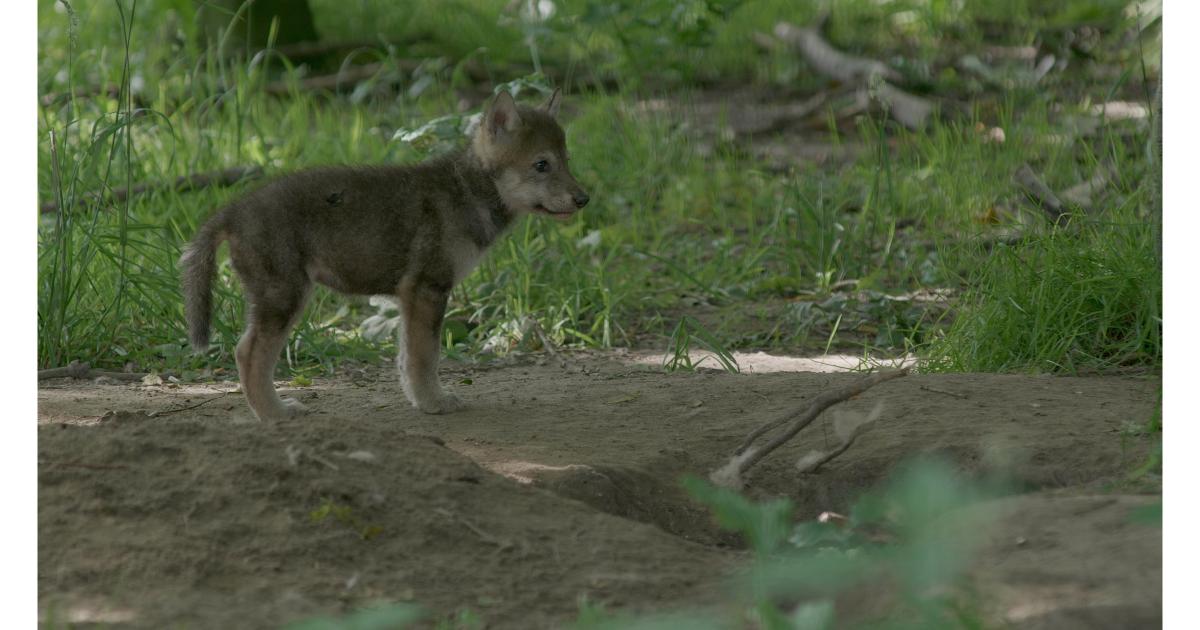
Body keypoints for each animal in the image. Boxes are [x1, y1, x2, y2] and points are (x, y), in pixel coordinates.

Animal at [180, 89, 588, 420]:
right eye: (541, 164)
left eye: (567, 160)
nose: (583, 199)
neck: (467, 191)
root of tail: (233, 210)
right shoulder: (427, 289)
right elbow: (425, 357)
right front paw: (434, 403)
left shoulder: (411, 298)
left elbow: (408, 358)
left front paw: (421, 400)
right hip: (286, 297)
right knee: (249, 355)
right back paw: (275, 414)